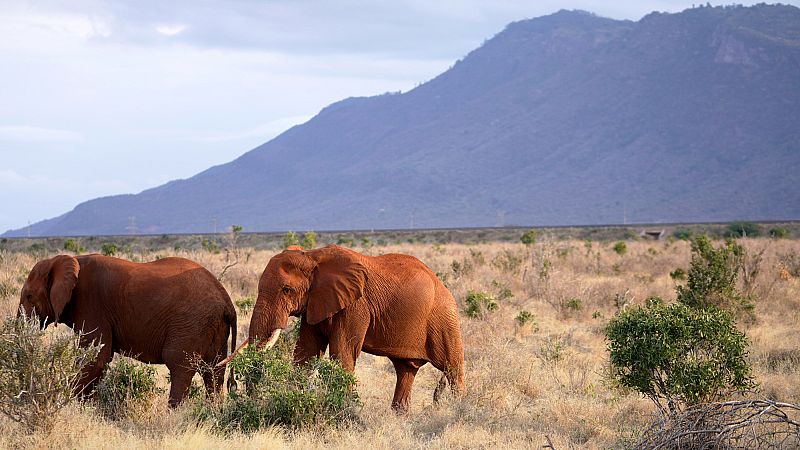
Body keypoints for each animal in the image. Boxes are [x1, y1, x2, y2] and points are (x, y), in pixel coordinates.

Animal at [18, 254, 237, 407]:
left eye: (29, 296)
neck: (66, 260)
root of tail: (226, 300)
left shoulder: (91, 304)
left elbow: (95, 358)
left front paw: (75, 407)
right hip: (212, 326)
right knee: (214, 371)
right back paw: (212, 411)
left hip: (190, 323)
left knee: (180, 367)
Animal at [220, 244, 465, 412]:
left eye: (286, 290)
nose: (233, 385)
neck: (312, 256)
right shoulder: (316, 302)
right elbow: (306, 351)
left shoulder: (356, 305)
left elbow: (342, 352)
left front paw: (344, 409)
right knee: (405, 370)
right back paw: (400, 416)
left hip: (444, 319)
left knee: (452, 368)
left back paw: (461, 408)